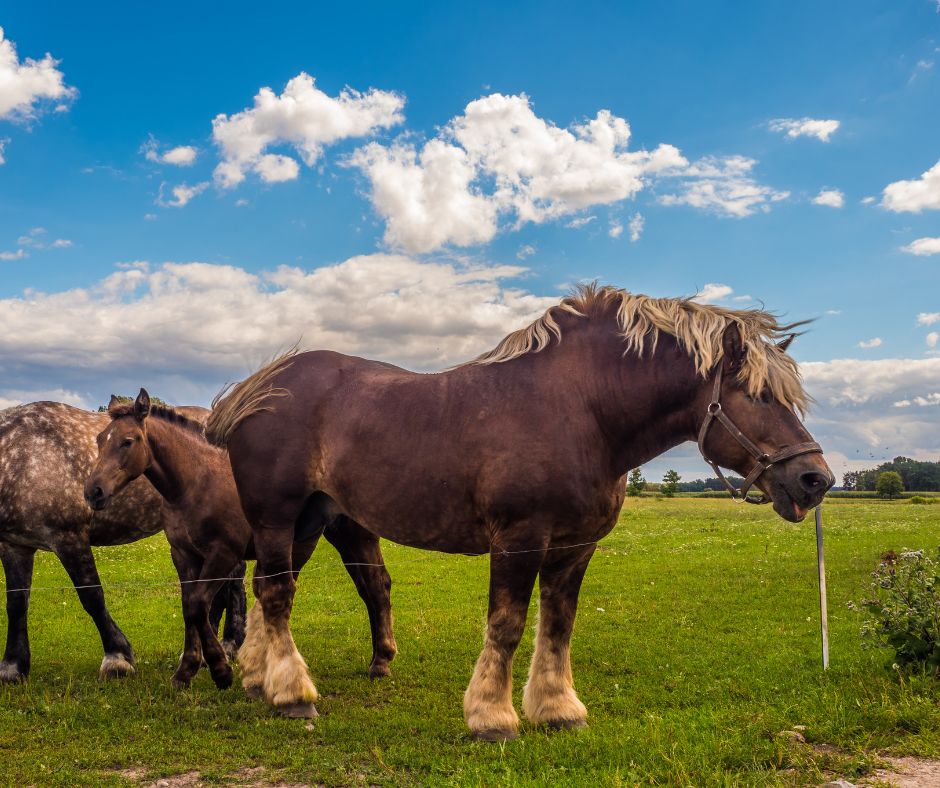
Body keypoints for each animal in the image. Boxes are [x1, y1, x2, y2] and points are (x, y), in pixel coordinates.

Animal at [0, 401, 246, 683]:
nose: (93, 493)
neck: (21, 457)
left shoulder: (68, 537)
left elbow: (92, 597)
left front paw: (116, 658)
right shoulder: (14, 546)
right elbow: (16, 604)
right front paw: (13, 666)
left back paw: (221, 647)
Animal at [84, 392, 397, 697]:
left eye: (128, 441)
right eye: (99, 439)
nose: (92, 492)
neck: (196, 483)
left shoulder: (223, 554)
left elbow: (199, 605)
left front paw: (221, 671)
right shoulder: (183, 556)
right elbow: (188, 607)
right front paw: (185, 672)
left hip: (358, 537)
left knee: (377, 584)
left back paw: (380, 663)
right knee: (364, 590)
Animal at [205, 283, 834, 740]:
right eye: (758, 395)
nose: (816, 480)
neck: (582, 409)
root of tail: (258, 386)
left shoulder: (576, 548)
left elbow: (557, 626)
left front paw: (558, 710)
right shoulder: (519, 539)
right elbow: (506, 625)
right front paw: (492, 717)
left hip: (308, 522)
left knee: (269, 592)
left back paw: (260, 680)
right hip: (278, 516)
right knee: (277, 595)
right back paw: (292, 696)